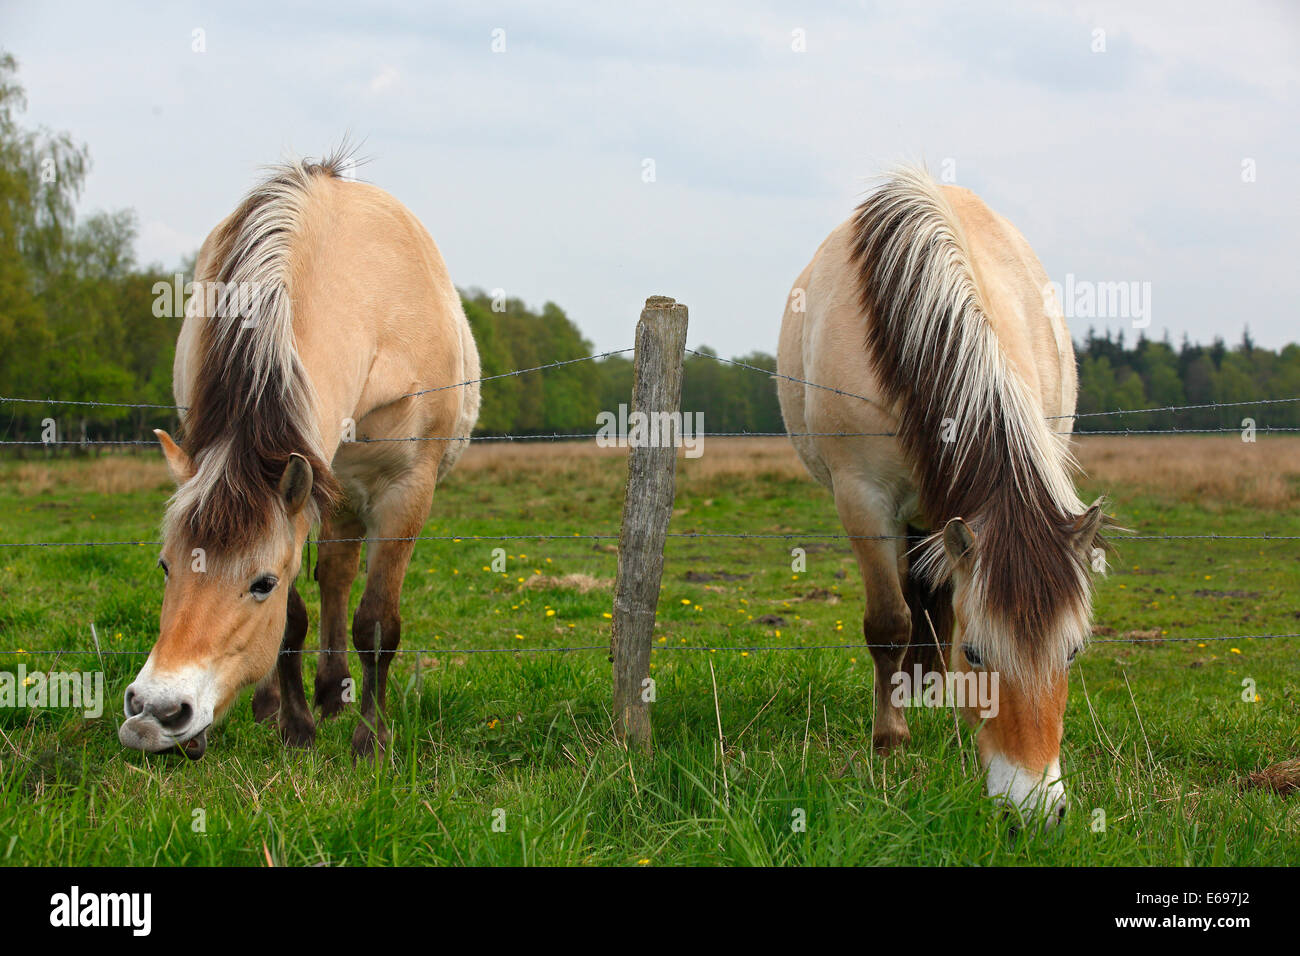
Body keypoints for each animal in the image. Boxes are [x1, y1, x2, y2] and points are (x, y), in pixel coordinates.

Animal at [118, 152, 481, 760]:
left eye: (261, 582)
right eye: (166, 565)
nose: (157, 714)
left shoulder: (405, 490)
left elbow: (376, 624)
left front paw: (370, 740)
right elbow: (291, 622)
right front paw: (296, 726)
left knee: (340, 575)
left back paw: (338, 695)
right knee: (333, 575)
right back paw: (297, 699)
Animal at [777, 166, 1108, 825]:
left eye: (1073, 653)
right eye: (977, 654)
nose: (1035, 810)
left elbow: (932, 610)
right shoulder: (863, 499)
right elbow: (888, 621)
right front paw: (890, 741)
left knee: (932, 599)